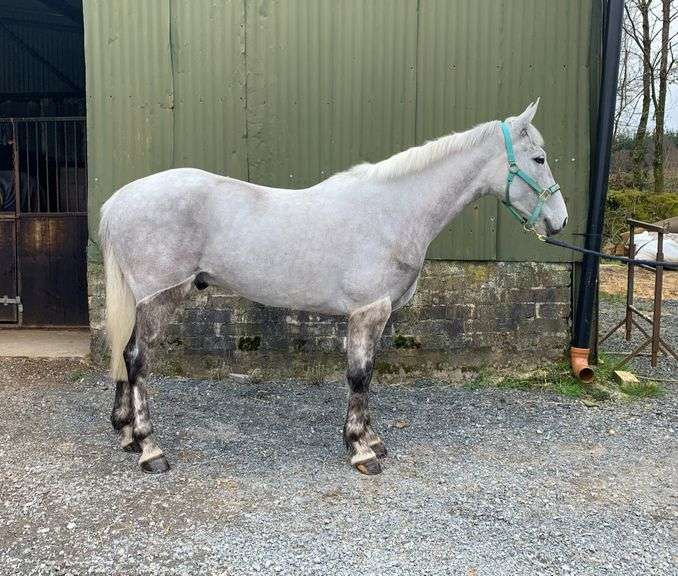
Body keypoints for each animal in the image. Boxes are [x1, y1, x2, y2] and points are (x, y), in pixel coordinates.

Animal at [99, 100, 568, 475]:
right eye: (539, 158)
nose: (559, 221)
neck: (392, 211)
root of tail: (118, 201)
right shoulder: (368, 310)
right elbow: (359, 376)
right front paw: (362, 450)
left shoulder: (377, 313)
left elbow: (368, 374)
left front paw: (371, 439)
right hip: (161, 297)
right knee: (137, 360)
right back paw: (150, 449)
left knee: (124, 352)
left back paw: (127, 436)